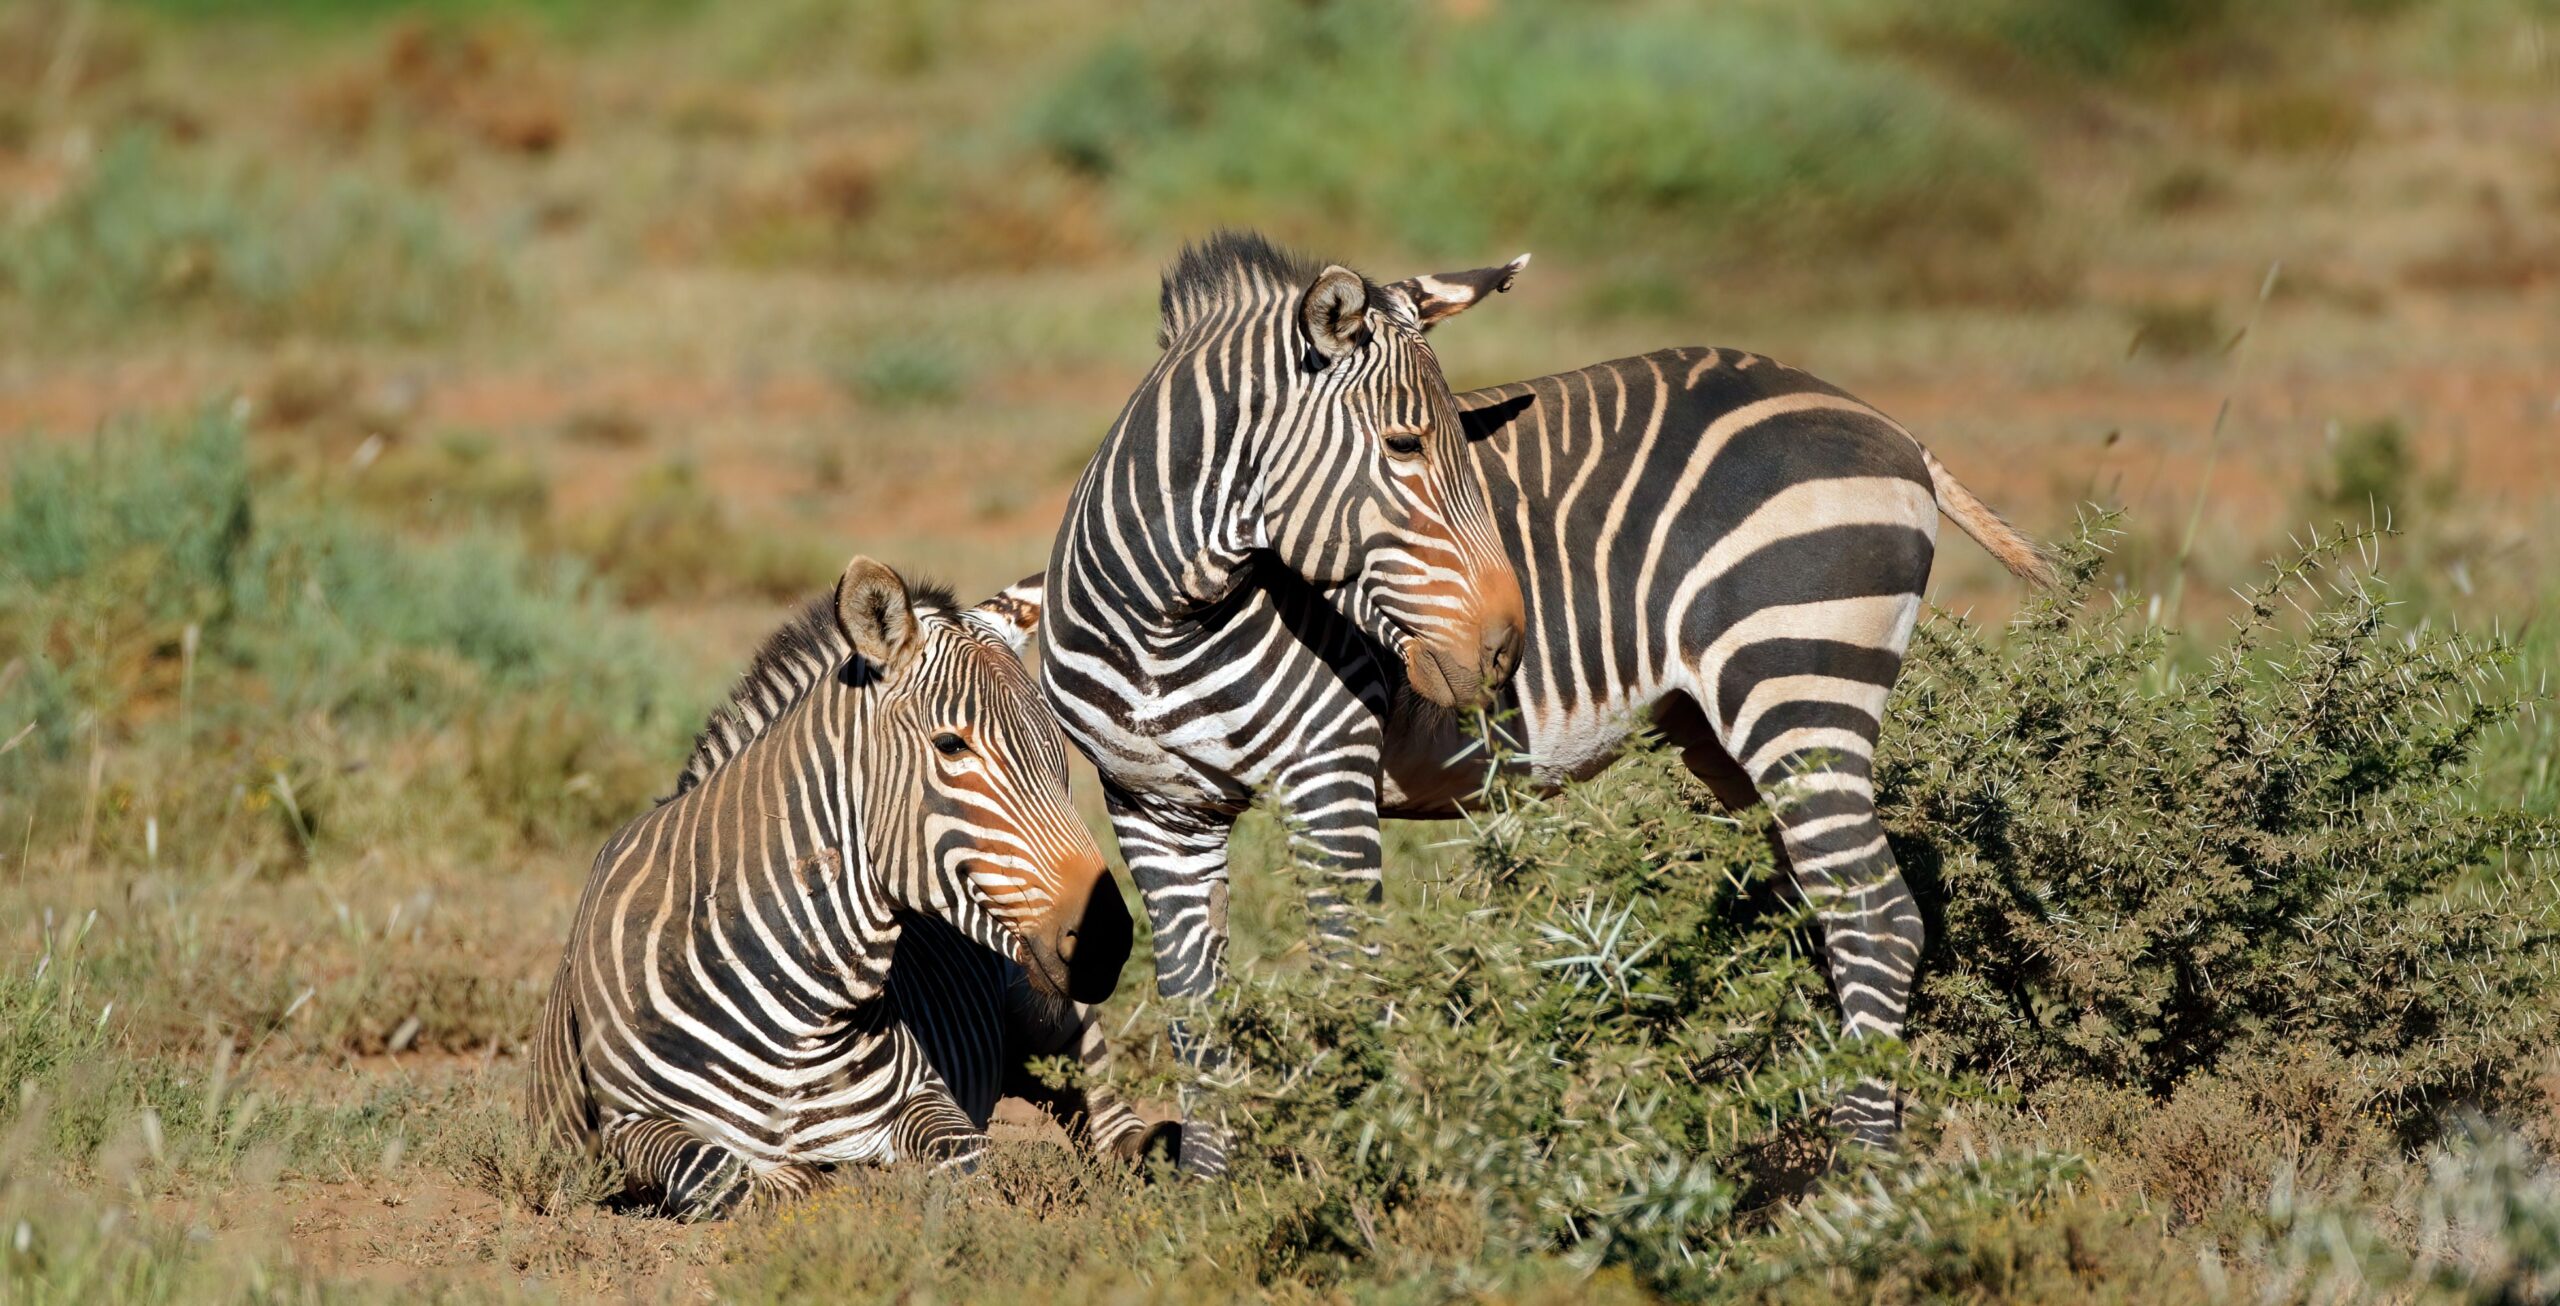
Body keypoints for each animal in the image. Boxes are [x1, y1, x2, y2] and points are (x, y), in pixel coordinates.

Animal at [528, 556, 1158, 1219]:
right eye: (951, 744)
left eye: (1060, 753)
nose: (1110, 937)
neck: (801, 1018)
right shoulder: (628, 1121)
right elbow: (715, 1171)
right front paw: (815, 1180)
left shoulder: (922, 1090)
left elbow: (962, 1156)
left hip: (1049, 1010)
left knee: (1103, 1109)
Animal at [1039, 234, 2052, 1172]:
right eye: (1405, 446)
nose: (1507, 651)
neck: (1166, 622)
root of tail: (1886, 425)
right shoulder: (1154, 808)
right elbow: (1192, 1000)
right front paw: (1210, 1189)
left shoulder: (1326, 773)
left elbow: (1349, 968)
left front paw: (1370, 1174)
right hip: (1730, 734)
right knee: (1824, 907)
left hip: (1798, 683)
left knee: (1878, 916)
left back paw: (1859, 1170)